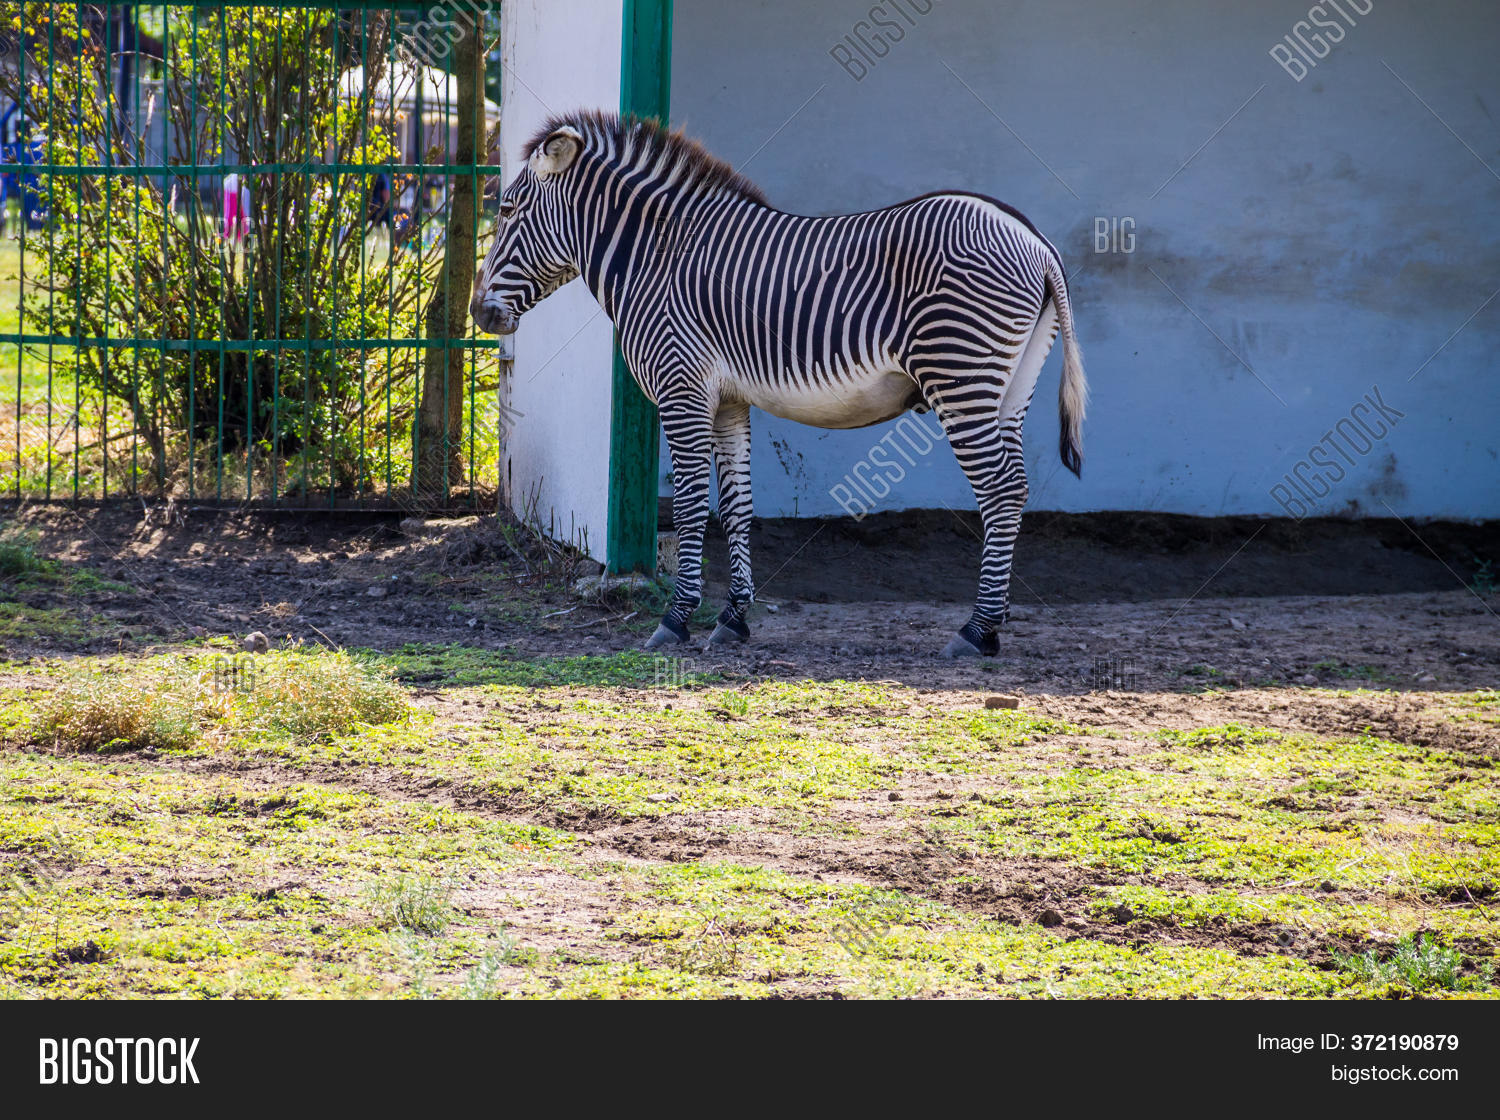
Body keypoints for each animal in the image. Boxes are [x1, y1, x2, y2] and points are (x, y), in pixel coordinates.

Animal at [471, 110, 1086, 658]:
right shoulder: (727, 401)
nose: (480, 314)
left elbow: (692, 505)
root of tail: (1034, 239)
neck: (659, 259)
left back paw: (976, 631)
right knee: (1016, 488)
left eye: (509, 209)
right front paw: (733, 618)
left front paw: (676, 620)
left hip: (961, 378)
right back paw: (993, 623)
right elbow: (736, 507)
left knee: (1000, 490)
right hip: (1008, 390)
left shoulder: (681, 388)